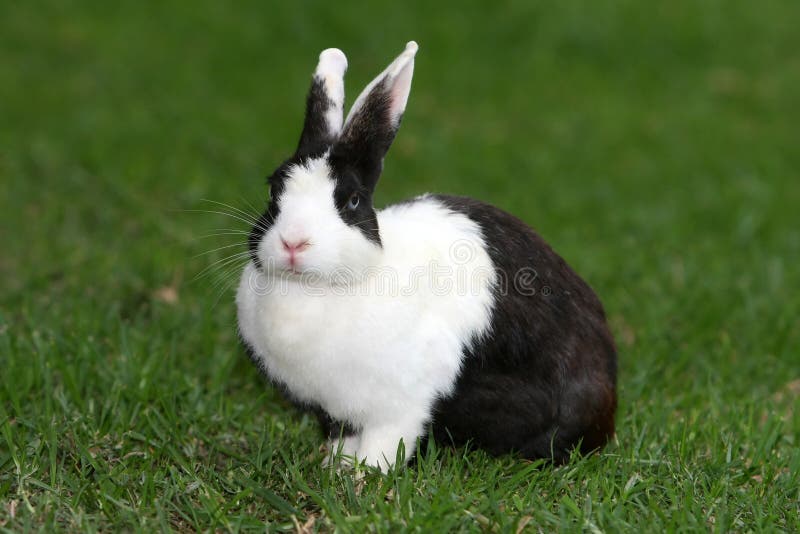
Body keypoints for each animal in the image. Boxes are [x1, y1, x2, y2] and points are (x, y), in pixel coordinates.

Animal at [236, 41, 617, 471]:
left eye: (352, 201)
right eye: (273, 191)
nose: (293, 243)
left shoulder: (400, 409)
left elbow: (383, 447)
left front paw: (362, 479)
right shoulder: (337, 412)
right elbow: (342, 439)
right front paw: (335, 468)